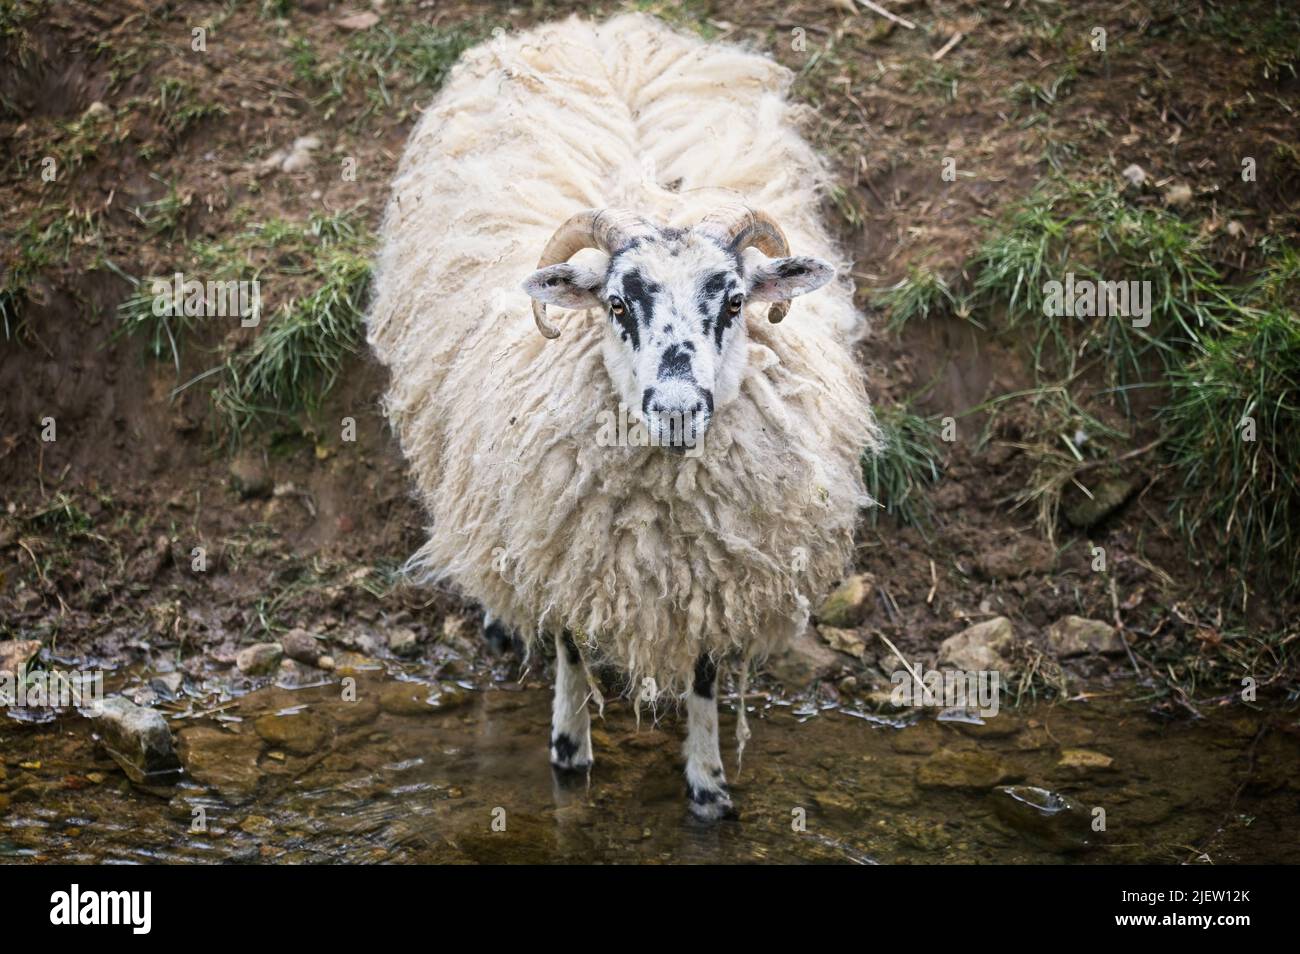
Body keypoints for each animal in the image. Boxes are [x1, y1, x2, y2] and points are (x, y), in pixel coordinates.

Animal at [366, 13, 880, 820]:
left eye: (736, 301)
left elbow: (702, 672)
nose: (676, 409)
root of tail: (607, 29)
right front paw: (569, 752)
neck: (659, 517)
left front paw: (708, 785)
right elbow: (572, 645)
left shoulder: (715, 568)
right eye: (615, 303)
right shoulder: (563, 545)